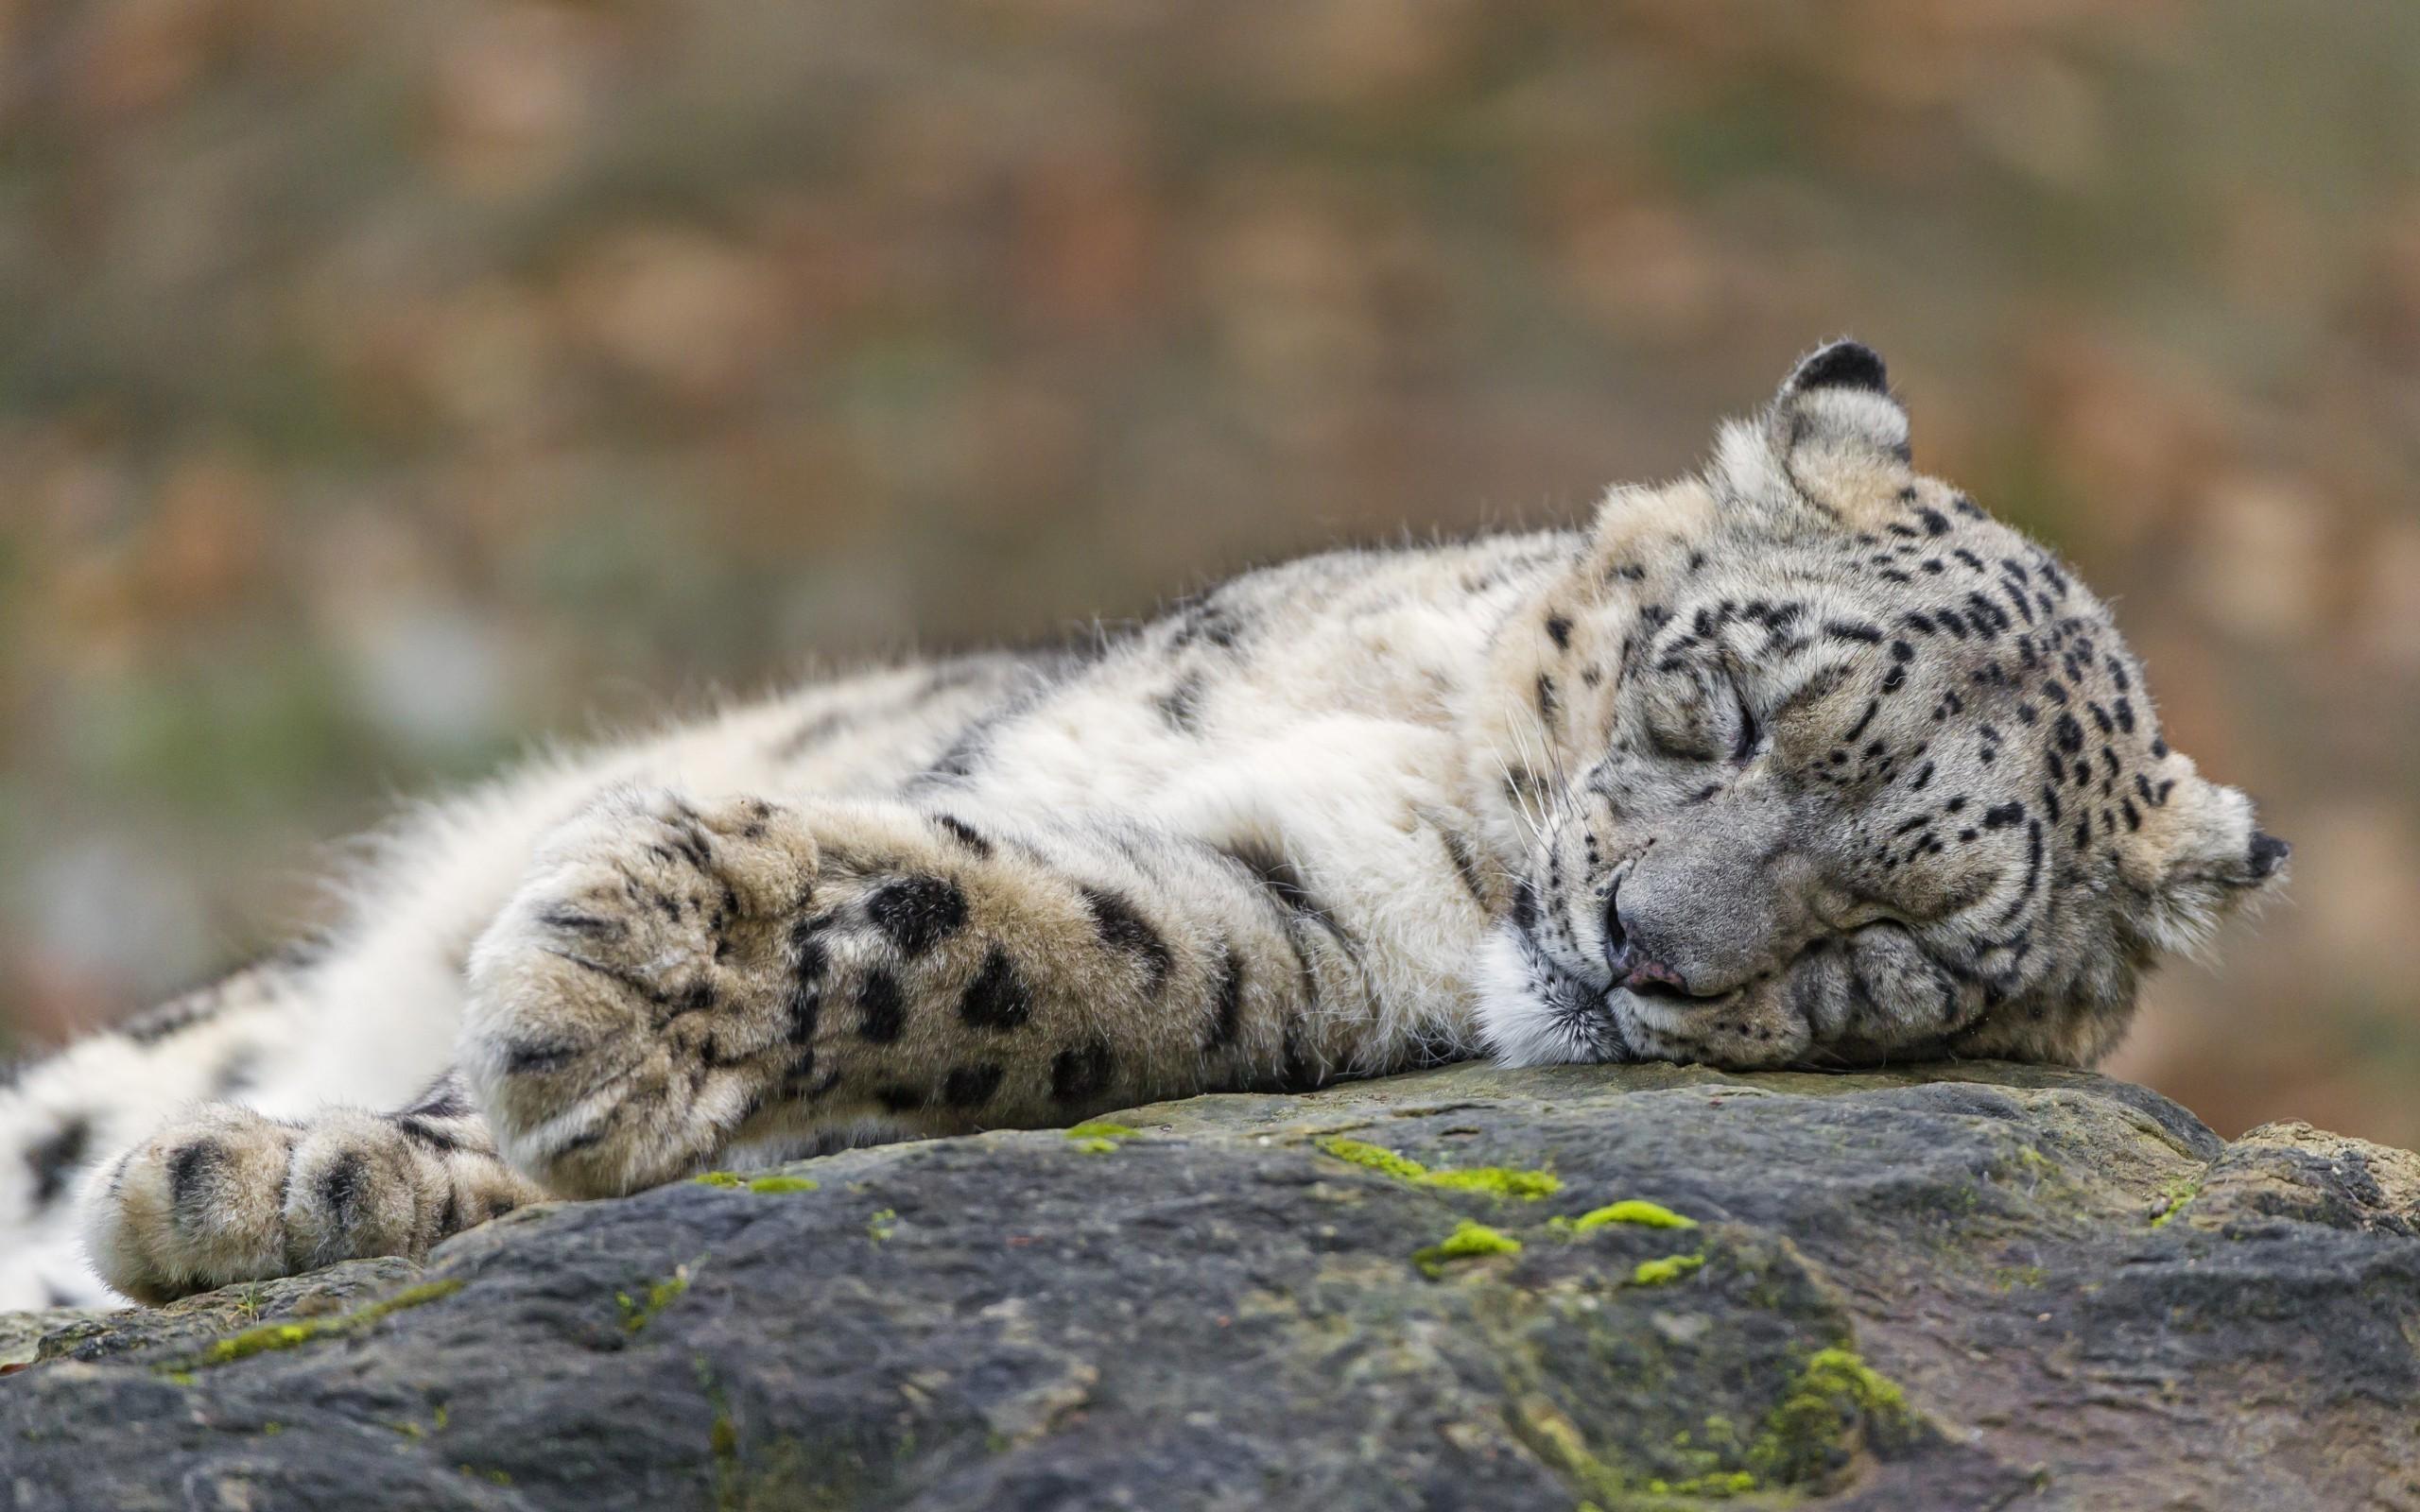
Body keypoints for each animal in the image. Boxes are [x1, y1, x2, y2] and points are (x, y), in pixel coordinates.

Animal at [0, 341, 2287, 1308]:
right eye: (1710, 699)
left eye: (1891, 949)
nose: (1643, 944)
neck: (1423, 765)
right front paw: (315, 1149)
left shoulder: (1276, 940)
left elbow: (1012, 934)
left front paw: (548, 1039)